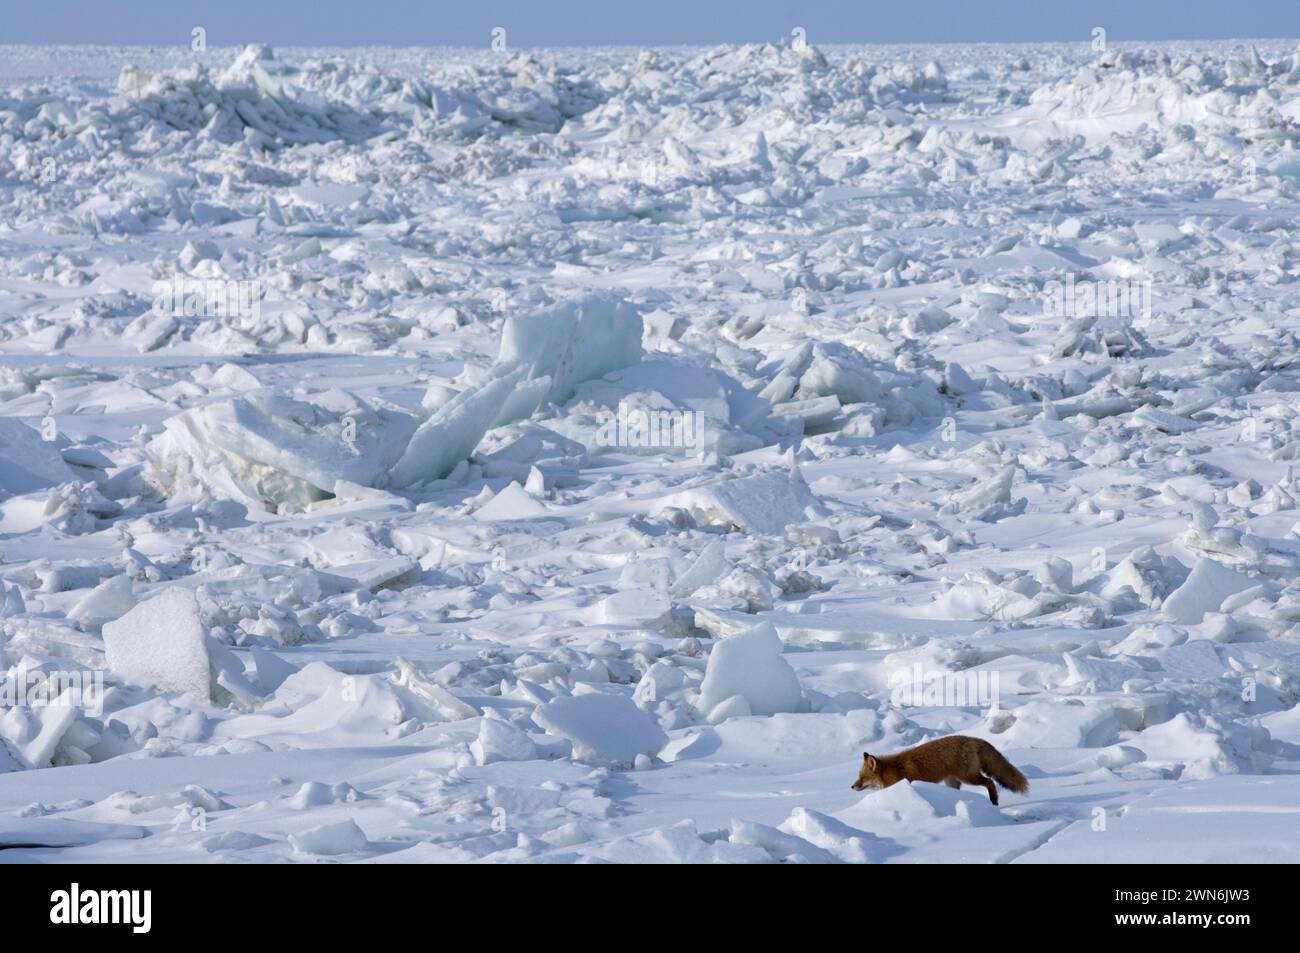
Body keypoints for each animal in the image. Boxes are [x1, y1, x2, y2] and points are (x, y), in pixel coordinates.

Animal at [851, 735, 1028, 806]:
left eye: (862, 777)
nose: (852, 787)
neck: (894, 770)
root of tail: (971, 738)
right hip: (952, 782)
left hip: (968, 777)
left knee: (990, 781)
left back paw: (994, 802)